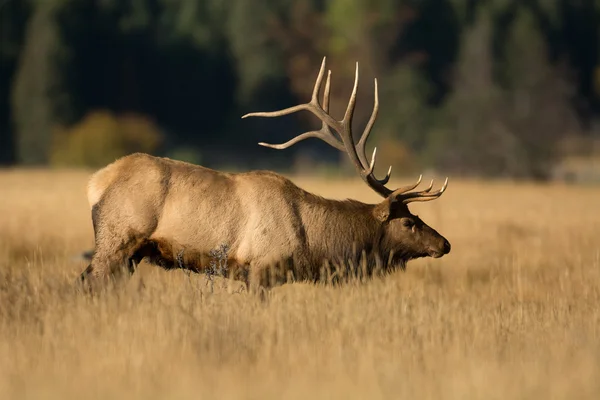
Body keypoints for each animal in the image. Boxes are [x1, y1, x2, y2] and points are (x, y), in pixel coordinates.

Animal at [76, 57, 450, 294]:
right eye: (409, 222)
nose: (444, 243)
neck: (310, 242)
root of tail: (95, 182)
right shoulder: (259, 268)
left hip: (130, 253)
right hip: (117, 239)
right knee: (87, 282)